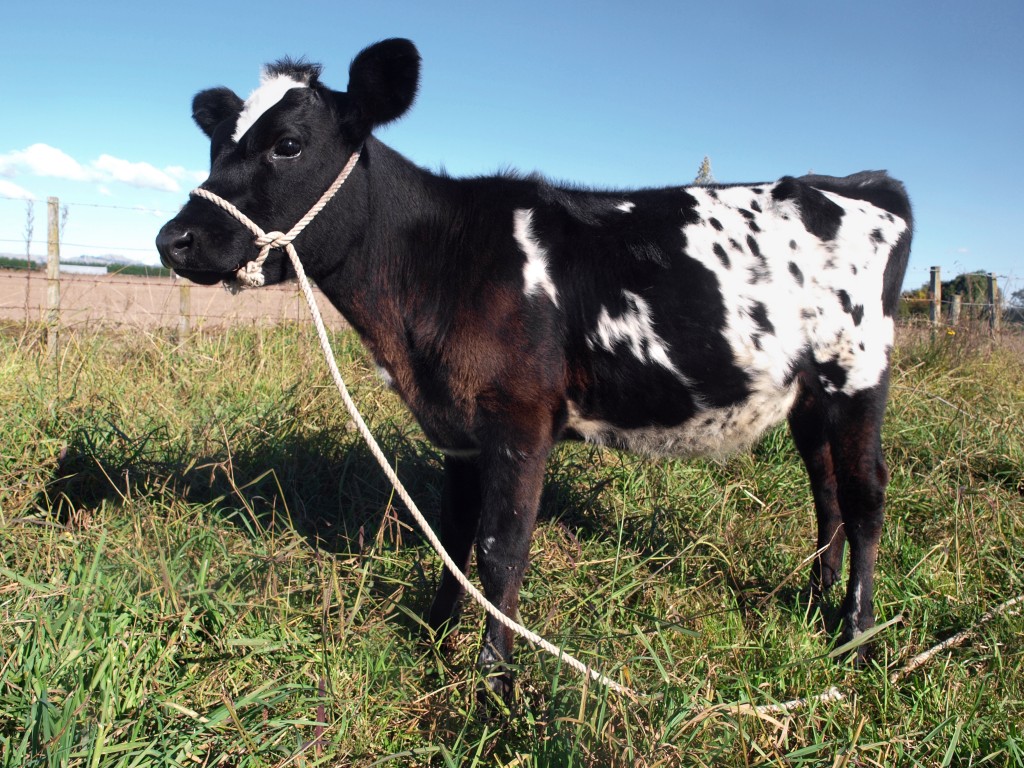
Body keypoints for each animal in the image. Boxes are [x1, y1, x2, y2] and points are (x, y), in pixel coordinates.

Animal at [156, 38, 913, 698]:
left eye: (288, 144)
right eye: (216, 144)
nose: (174, 239)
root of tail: (856, 183)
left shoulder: (520, 417)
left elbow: (502, 546)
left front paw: (494, 684)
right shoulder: (456, 425)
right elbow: (454, 534)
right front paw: (435, 637)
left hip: (858, 373)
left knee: (865, 493)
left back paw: (857, 635)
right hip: (809, 392)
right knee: (825, 487)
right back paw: (818, 597)